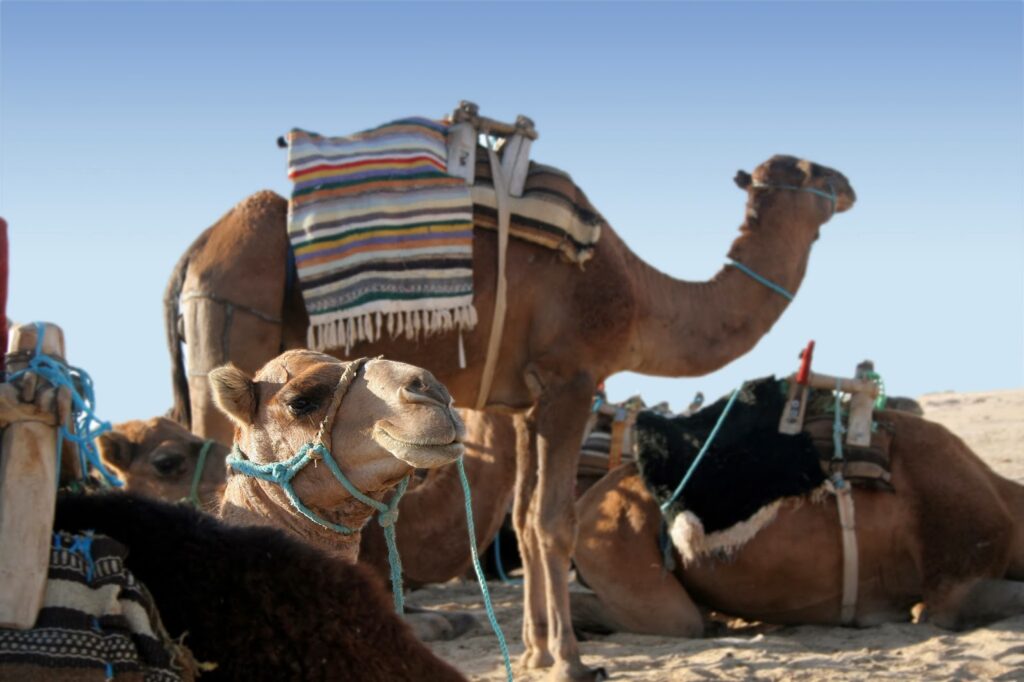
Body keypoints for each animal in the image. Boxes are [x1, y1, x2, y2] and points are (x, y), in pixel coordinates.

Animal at [166, 153, 856, 679]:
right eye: (808, 171)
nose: (847, 183)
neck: (642, 297)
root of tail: (197, 249)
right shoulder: (571, 379)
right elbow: (554, 523)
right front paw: (570, 661)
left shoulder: (525, 404)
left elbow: (523, 523)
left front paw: (531, 653)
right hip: (232, 316)